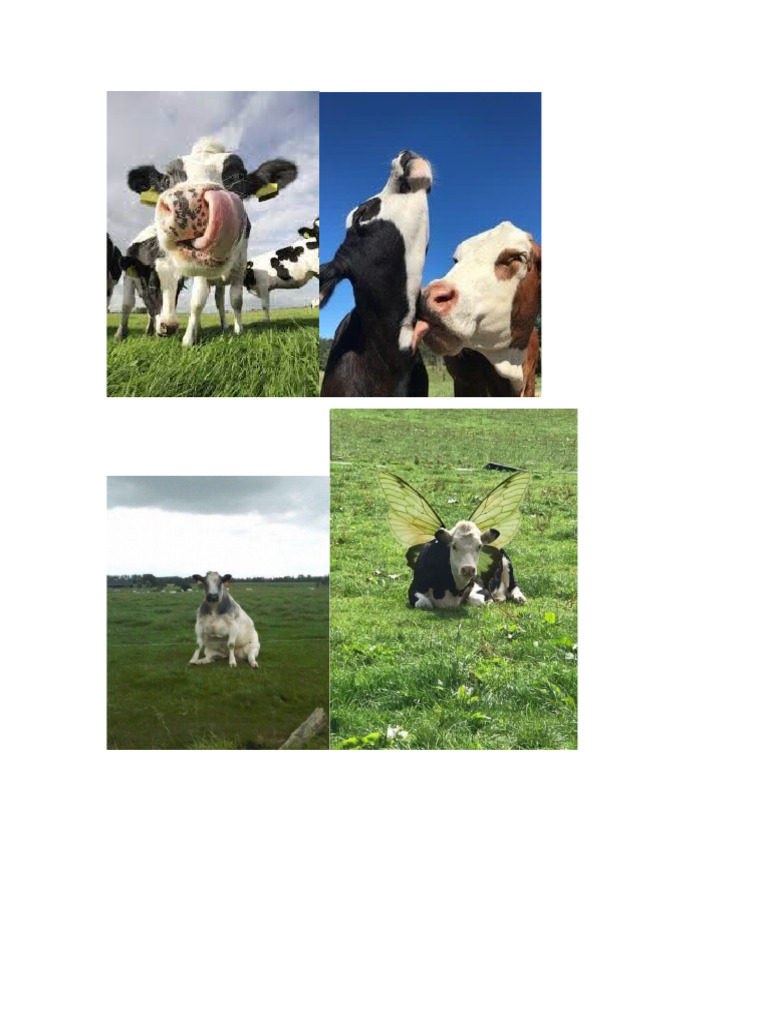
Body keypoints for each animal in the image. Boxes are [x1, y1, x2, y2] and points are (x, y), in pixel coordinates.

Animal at [116, 138, 297, 346]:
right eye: (167, 180)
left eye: (239, 176)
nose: (189, 203)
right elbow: (196, 302)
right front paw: (188, 339)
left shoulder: (240, 267)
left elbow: (236, 300)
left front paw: (238, 330)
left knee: (220, 301)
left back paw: (224, 326)